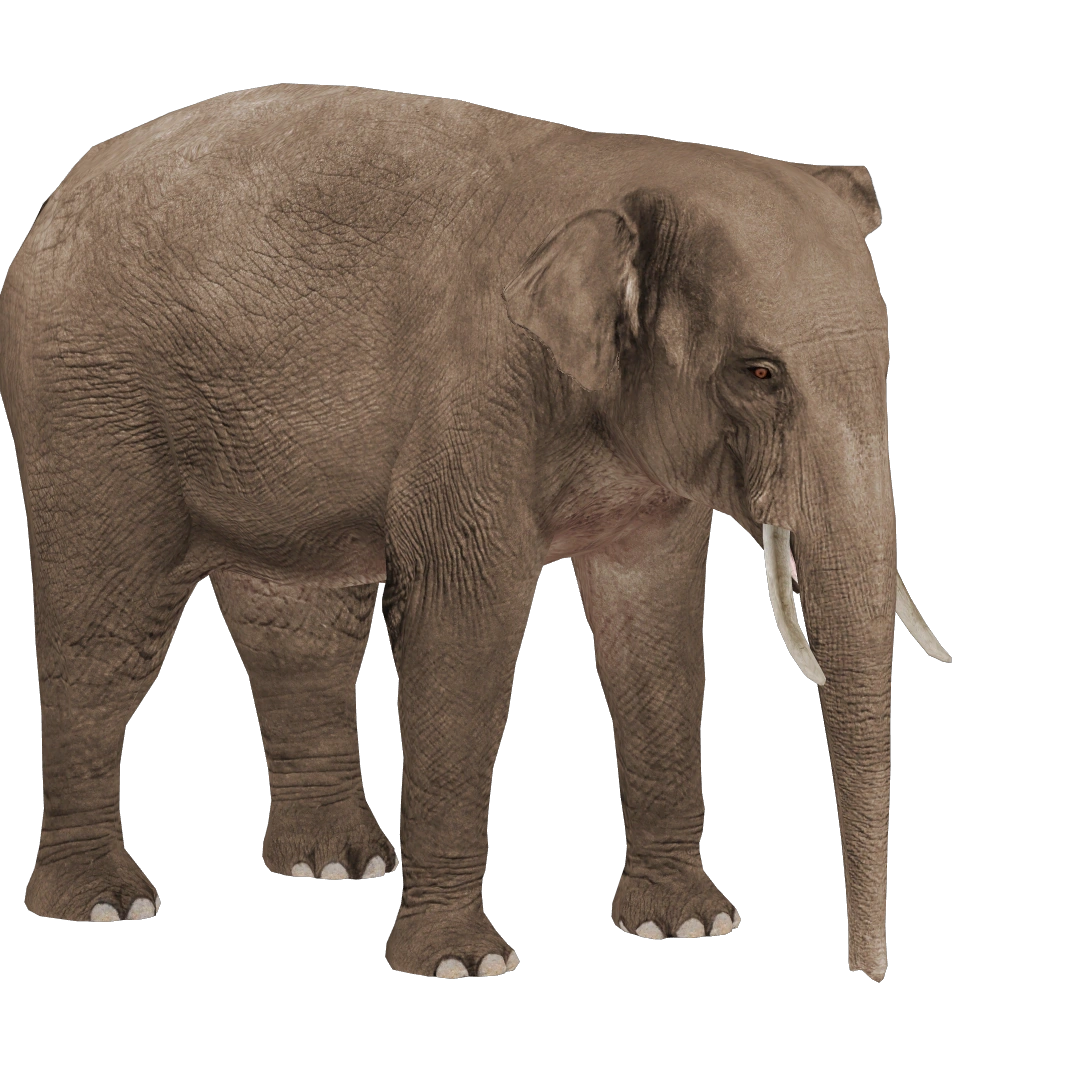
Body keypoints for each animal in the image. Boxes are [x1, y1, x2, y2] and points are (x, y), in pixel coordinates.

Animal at [0, 83, 950, 982]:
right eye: (759, 373)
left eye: (888, 358)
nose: (863, 970)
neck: (623, 174)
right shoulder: (477, 389)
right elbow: (464, 627)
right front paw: (467, 963)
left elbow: (654, 631)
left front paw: (688, 928)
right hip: (90, 401)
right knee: (108, 630)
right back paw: (105, 905)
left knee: (301, 623)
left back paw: (334, 867)